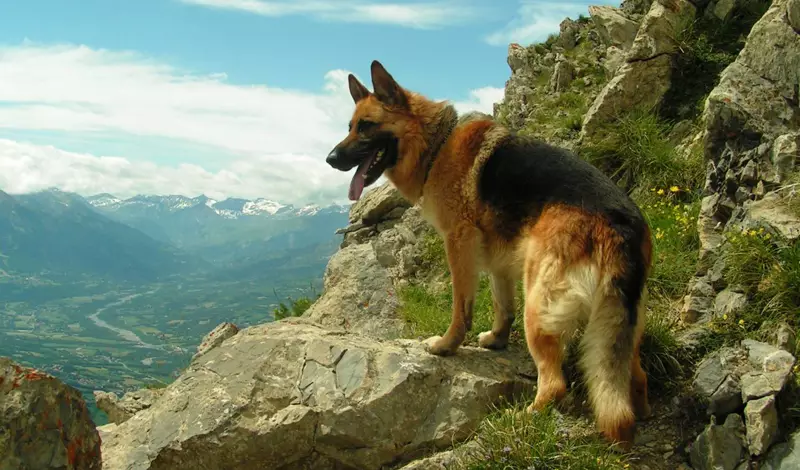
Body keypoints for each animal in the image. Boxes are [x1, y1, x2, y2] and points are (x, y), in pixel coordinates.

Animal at [324, 60, 648, 450]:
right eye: (349, 127)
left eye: (367, 126)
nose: (330, 158)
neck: (436, 145)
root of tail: (621, 224)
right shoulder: (497, 257)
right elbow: (502, 305)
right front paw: (496, 339)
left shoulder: (459, 243)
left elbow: (461, 309)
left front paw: (447, 345)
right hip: (615, 325)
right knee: (633, 378)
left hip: (538, 306)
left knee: (555, 383)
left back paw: (525, 419)